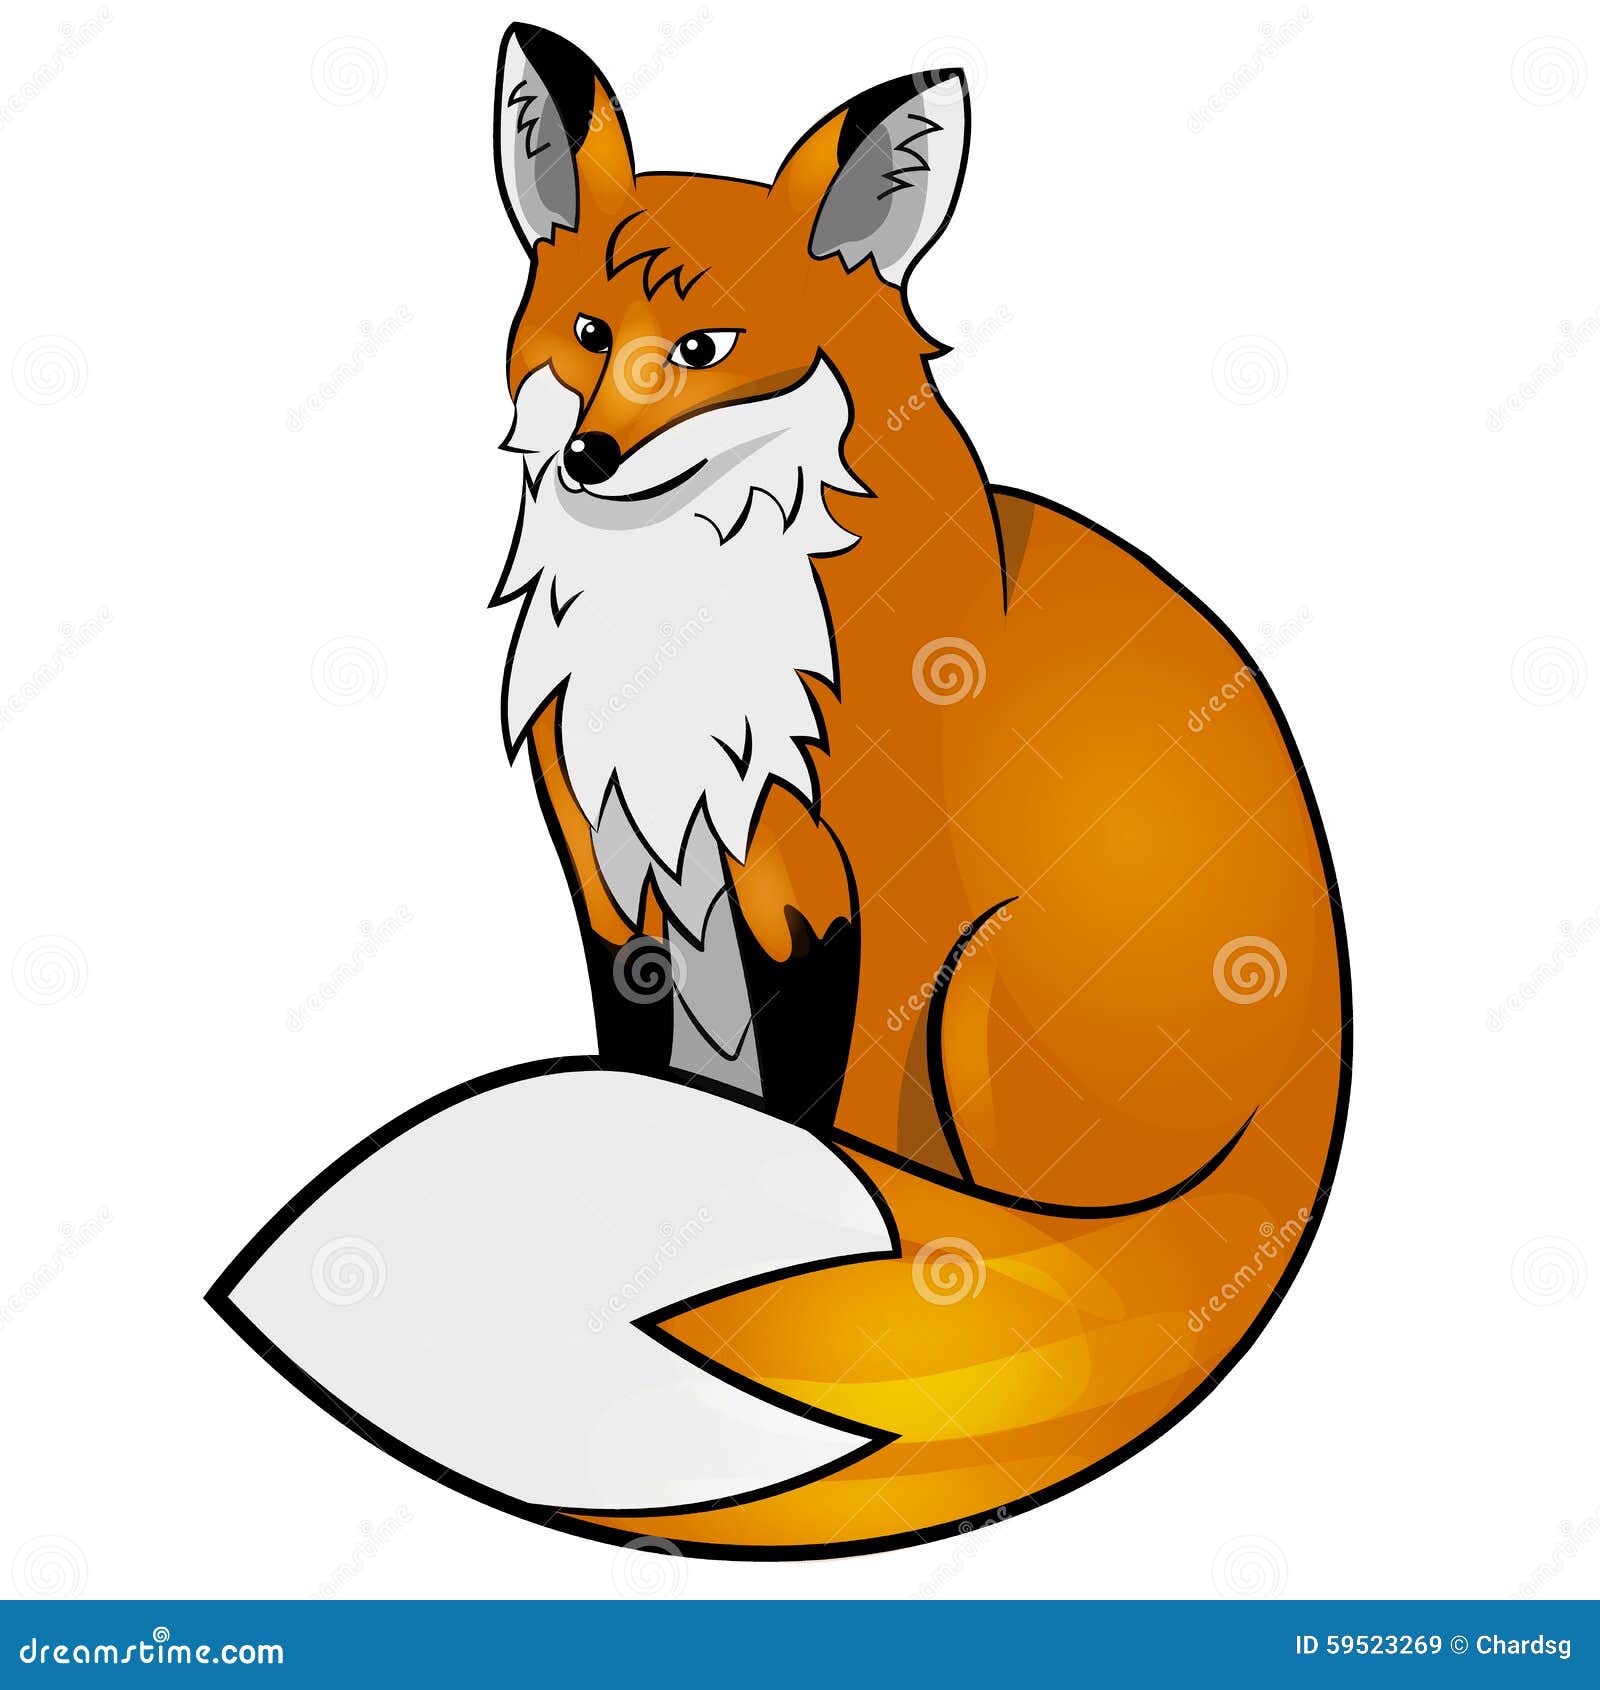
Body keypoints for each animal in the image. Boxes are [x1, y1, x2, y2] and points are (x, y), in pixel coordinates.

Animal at [206, 23, 1350, 1562]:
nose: (589, 457)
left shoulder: (887, 907)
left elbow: (852, 1132)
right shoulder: (630, 878)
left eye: (705, 350)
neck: (690, 633)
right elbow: (671, 1081)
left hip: (987, 995)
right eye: (588, 337)